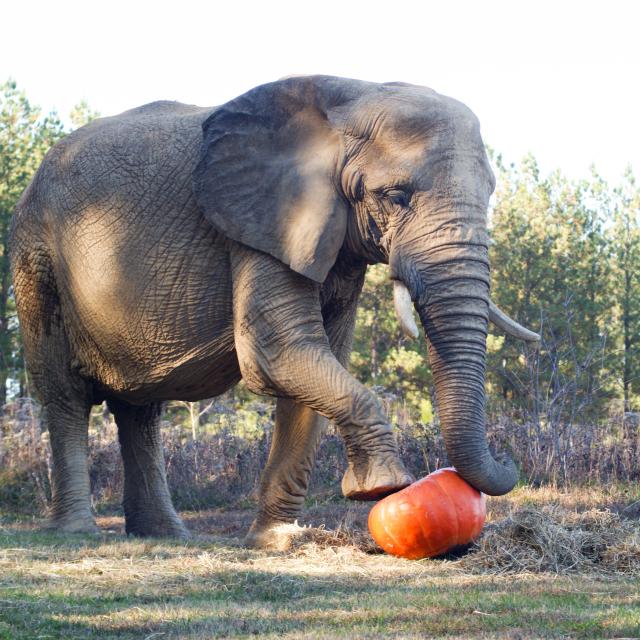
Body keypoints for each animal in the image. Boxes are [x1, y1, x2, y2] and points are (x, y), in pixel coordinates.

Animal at [10, 75, 538, 550]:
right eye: (395, 197)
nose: (509, 459)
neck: (352, 97)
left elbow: (317, 360)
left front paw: (277, 540)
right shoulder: (257, 225)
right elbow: (277, 352)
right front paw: (383, 486)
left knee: (140, 410)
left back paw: (165, 534)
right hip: (36, 258)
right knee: (65, 394)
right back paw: (76, 533)